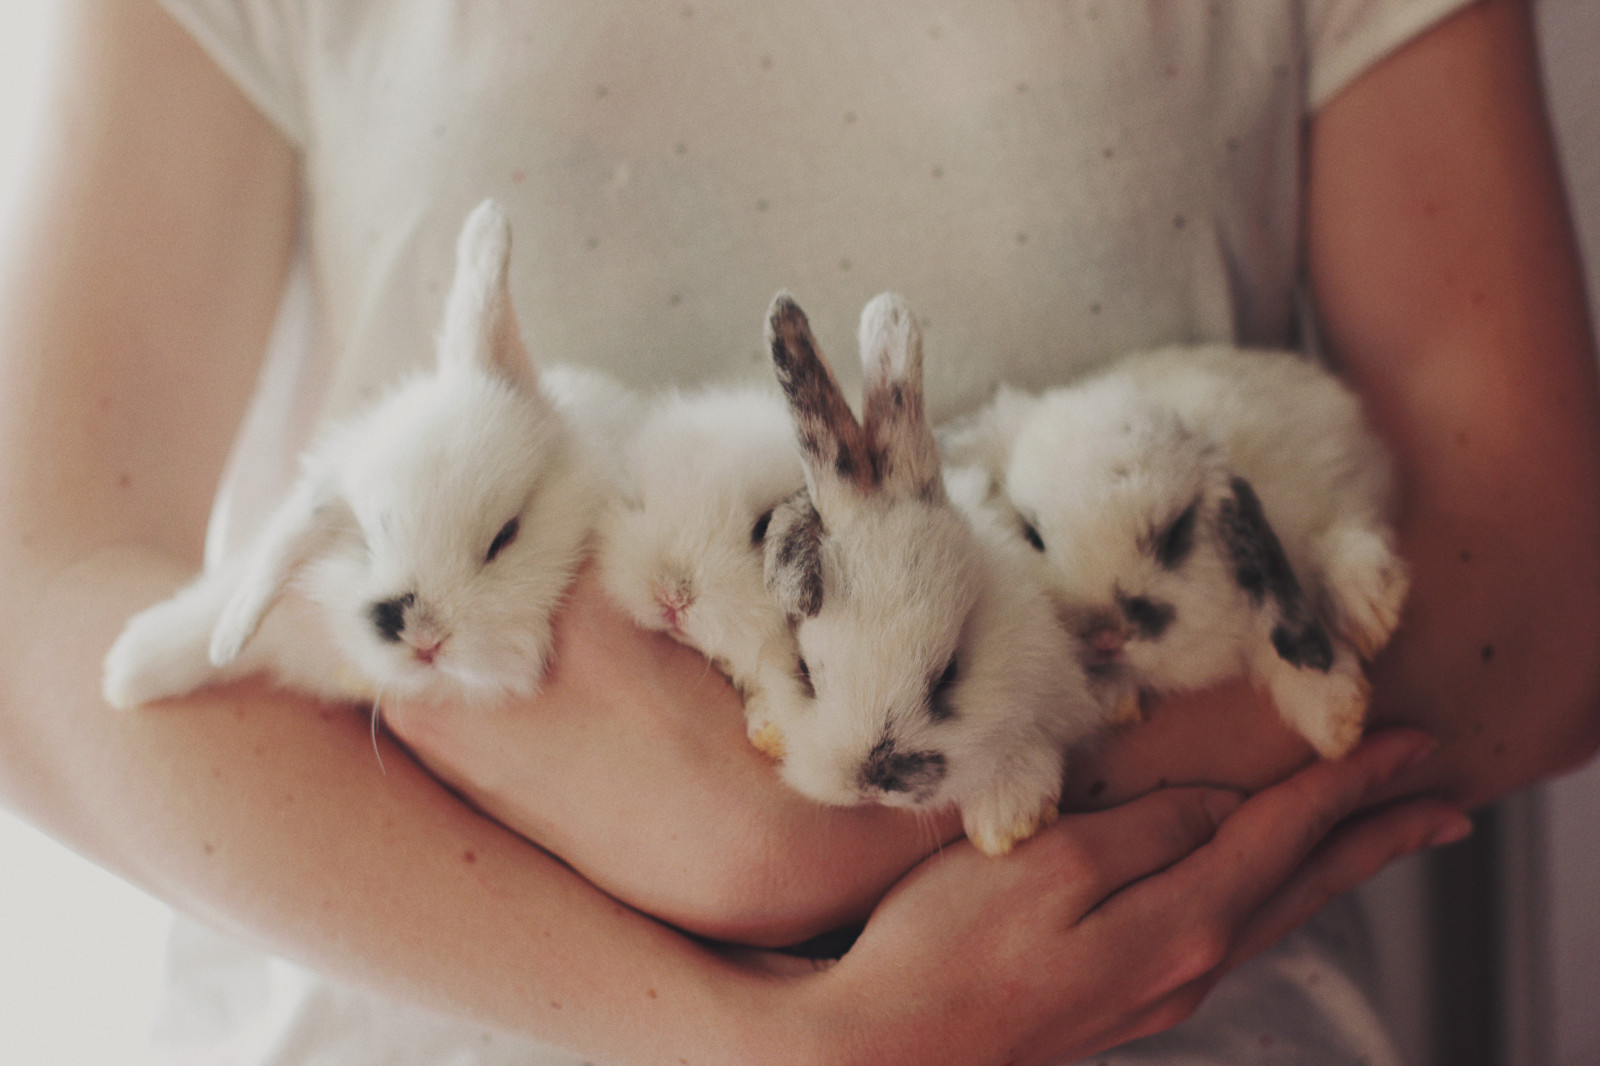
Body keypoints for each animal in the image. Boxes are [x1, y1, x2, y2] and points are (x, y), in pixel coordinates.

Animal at [954, 344, 1409, 759]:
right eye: (1032, 535)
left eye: (1174, 535)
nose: (1105, 637)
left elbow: (1279, 644)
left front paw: (1337, 721)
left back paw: (1371, 605)